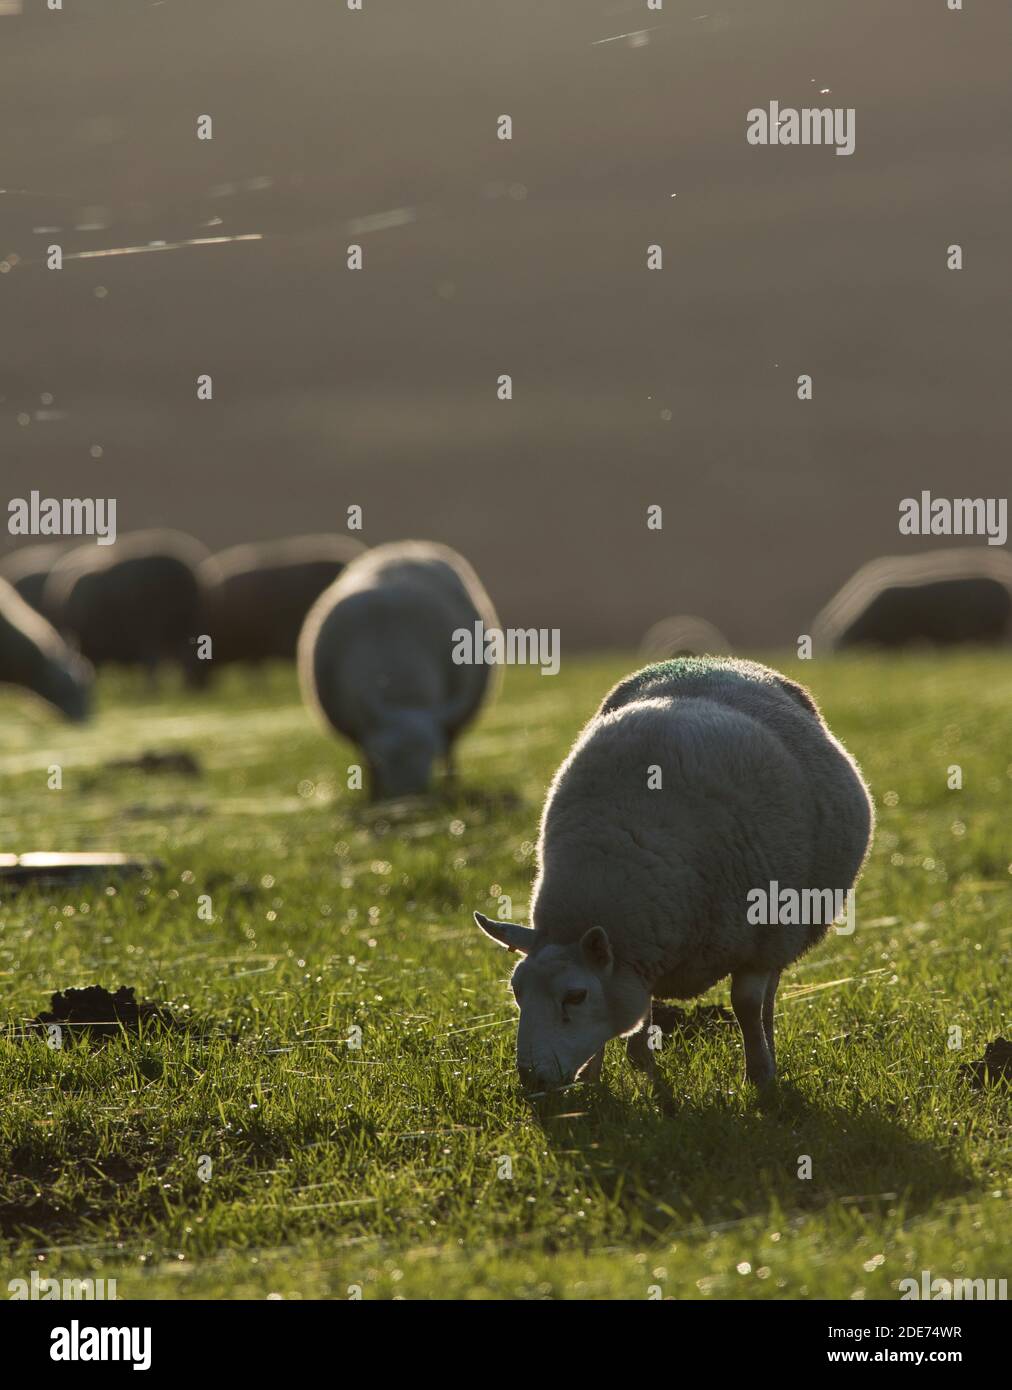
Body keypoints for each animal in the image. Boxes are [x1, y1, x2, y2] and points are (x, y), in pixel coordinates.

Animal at [298, 540, 499, 799]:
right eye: (382, 757)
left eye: (431, 755)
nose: (409, 795)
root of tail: (403, 546)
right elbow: (365, 762)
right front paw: (373, 796)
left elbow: (448, 752)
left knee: (452, 751)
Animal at [475, 656, 873, 1091]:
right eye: (516, 991)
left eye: (576, 996)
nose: (531, 1078)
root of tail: (720, 662)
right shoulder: (638, 959)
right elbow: (632, 1028)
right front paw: (602, 1079)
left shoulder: (762, 936)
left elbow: (746, 1005)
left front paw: (759, 1075)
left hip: (787, 928)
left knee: (768, 995)